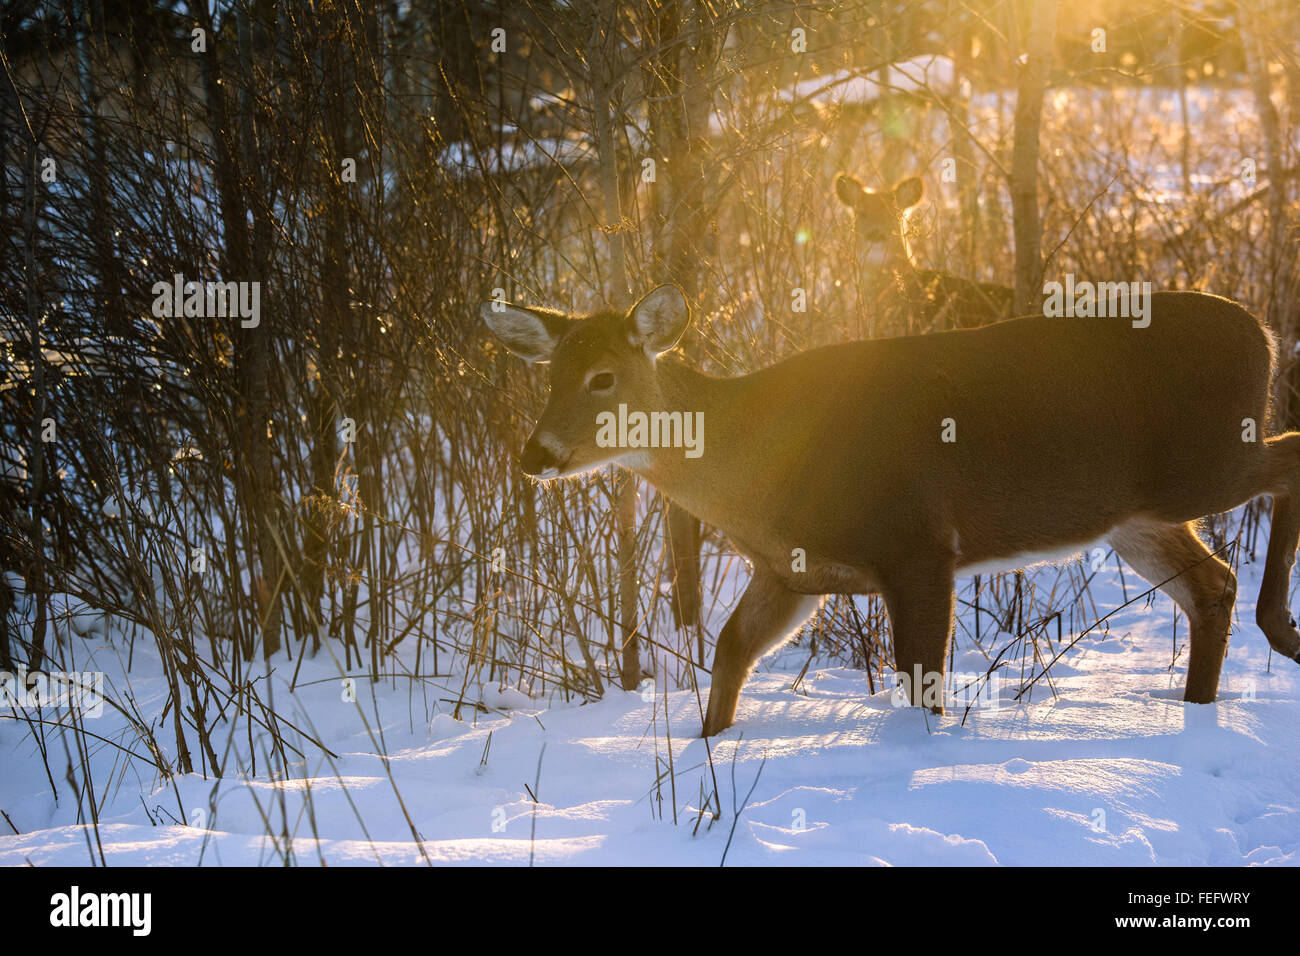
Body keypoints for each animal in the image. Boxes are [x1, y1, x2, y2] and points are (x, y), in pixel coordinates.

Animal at [482, 284, 1300, 737]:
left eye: (603, 377)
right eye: (547, 375)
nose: (535, 454)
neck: (757, 463)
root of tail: (1262, 332)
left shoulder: (917, 545)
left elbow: (919, 680)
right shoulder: (791, 575)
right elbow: (730, 649)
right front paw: (706, 749)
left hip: (1203, 462)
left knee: (1287, 460)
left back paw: (1279, 630)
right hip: (1136, 515)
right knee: (1212, 582)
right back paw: (1198, 713)